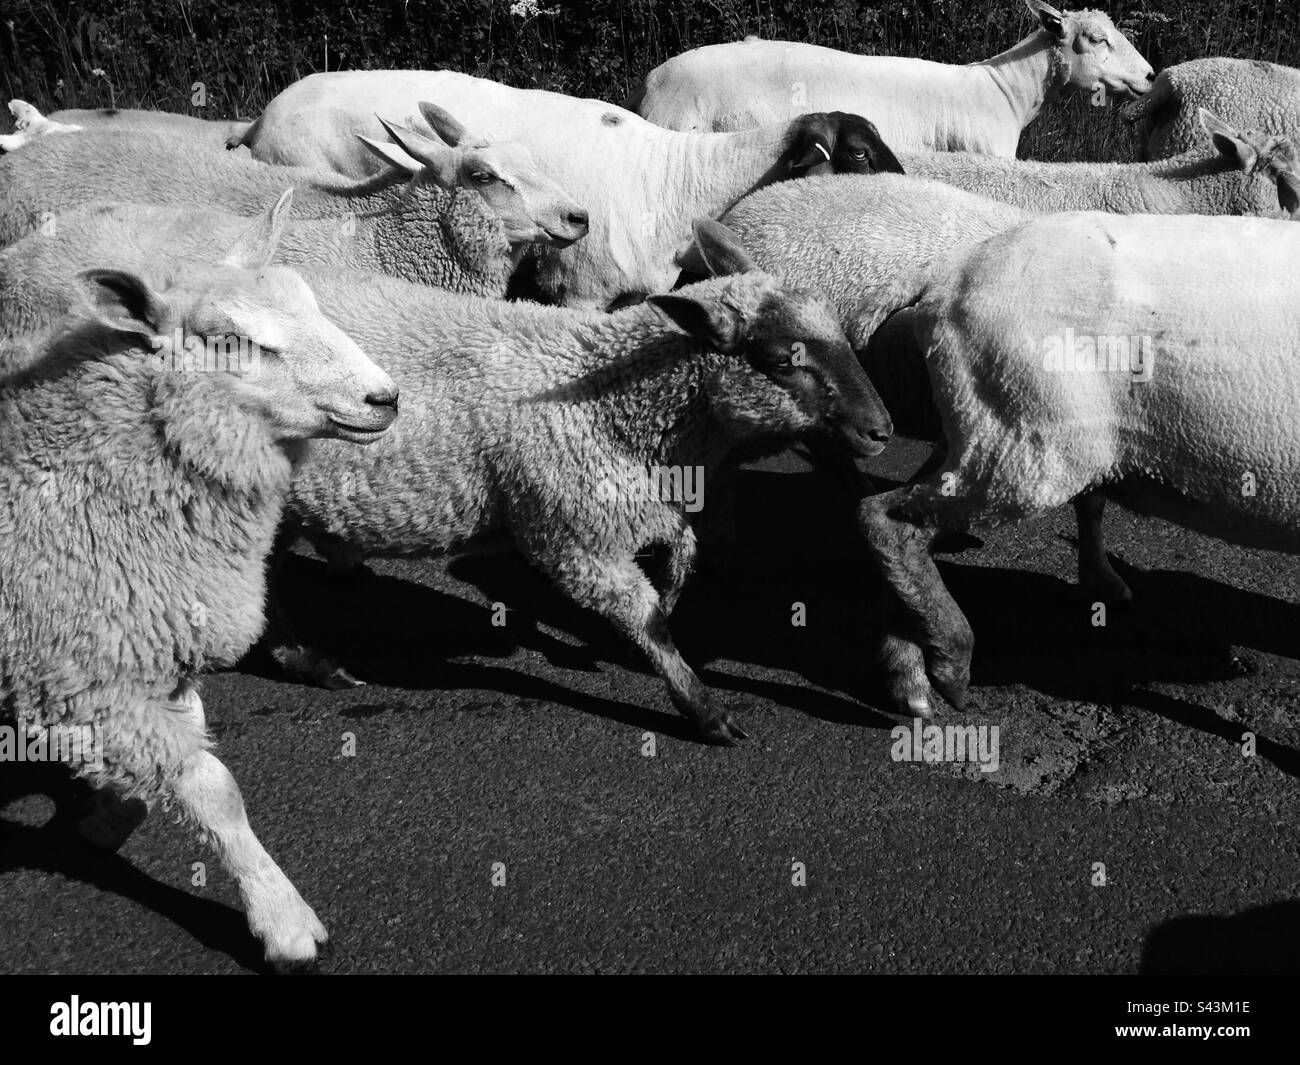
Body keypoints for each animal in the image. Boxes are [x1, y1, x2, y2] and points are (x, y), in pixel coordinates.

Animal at [0, 203, 399, 968]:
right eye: (229, 339)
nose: (385, 398)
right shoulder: (78, 673)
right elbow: (216, 792)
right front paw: (283, 920)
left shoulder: (153, 655)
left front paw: (105, 813)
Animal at [260, 221, 894, 743]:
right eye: (785, 360)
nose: (882, 431)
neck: (604, 394)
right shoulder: (574, 538)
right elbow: (648, 621)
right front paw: (705, 710)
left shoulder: (639, 502)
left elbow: (684, 555)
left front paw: (669, 596)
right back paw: (313, 661)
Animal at [854, 210, 1300, 718]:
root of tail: (949, 272)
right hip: (1026, 438)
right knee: (885, 520)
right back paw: (952, 663)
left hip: (983, 422)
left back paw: (906, 673)